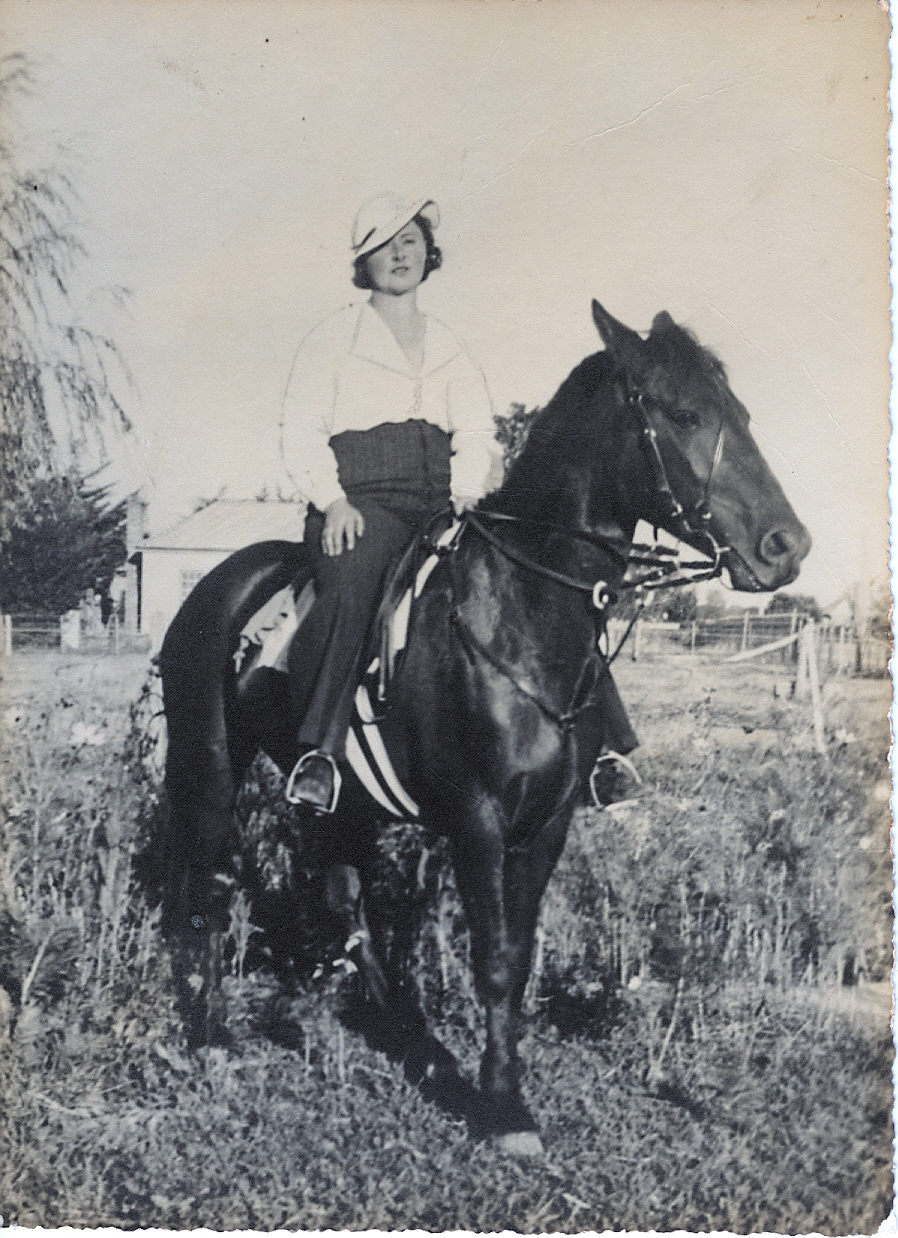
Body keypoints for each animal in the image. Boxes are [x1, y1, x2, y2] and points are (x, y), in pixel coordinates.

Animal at [157, 300, 810, 1157]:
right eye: (684, 414)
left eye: (740, 412)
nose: (787, 547)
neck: (521, 611)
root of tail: (221, 582)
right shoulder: (477, 819)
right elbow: (494, 959)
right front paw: (503, 1107)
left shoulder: (548, 822)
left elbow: (519, 956)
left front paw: (487, 1082)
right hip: (208, 767)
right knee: (206, 888)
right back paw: (209, 1042)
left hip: (341, 798)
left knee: (344, 898)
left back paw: (402, 1036)